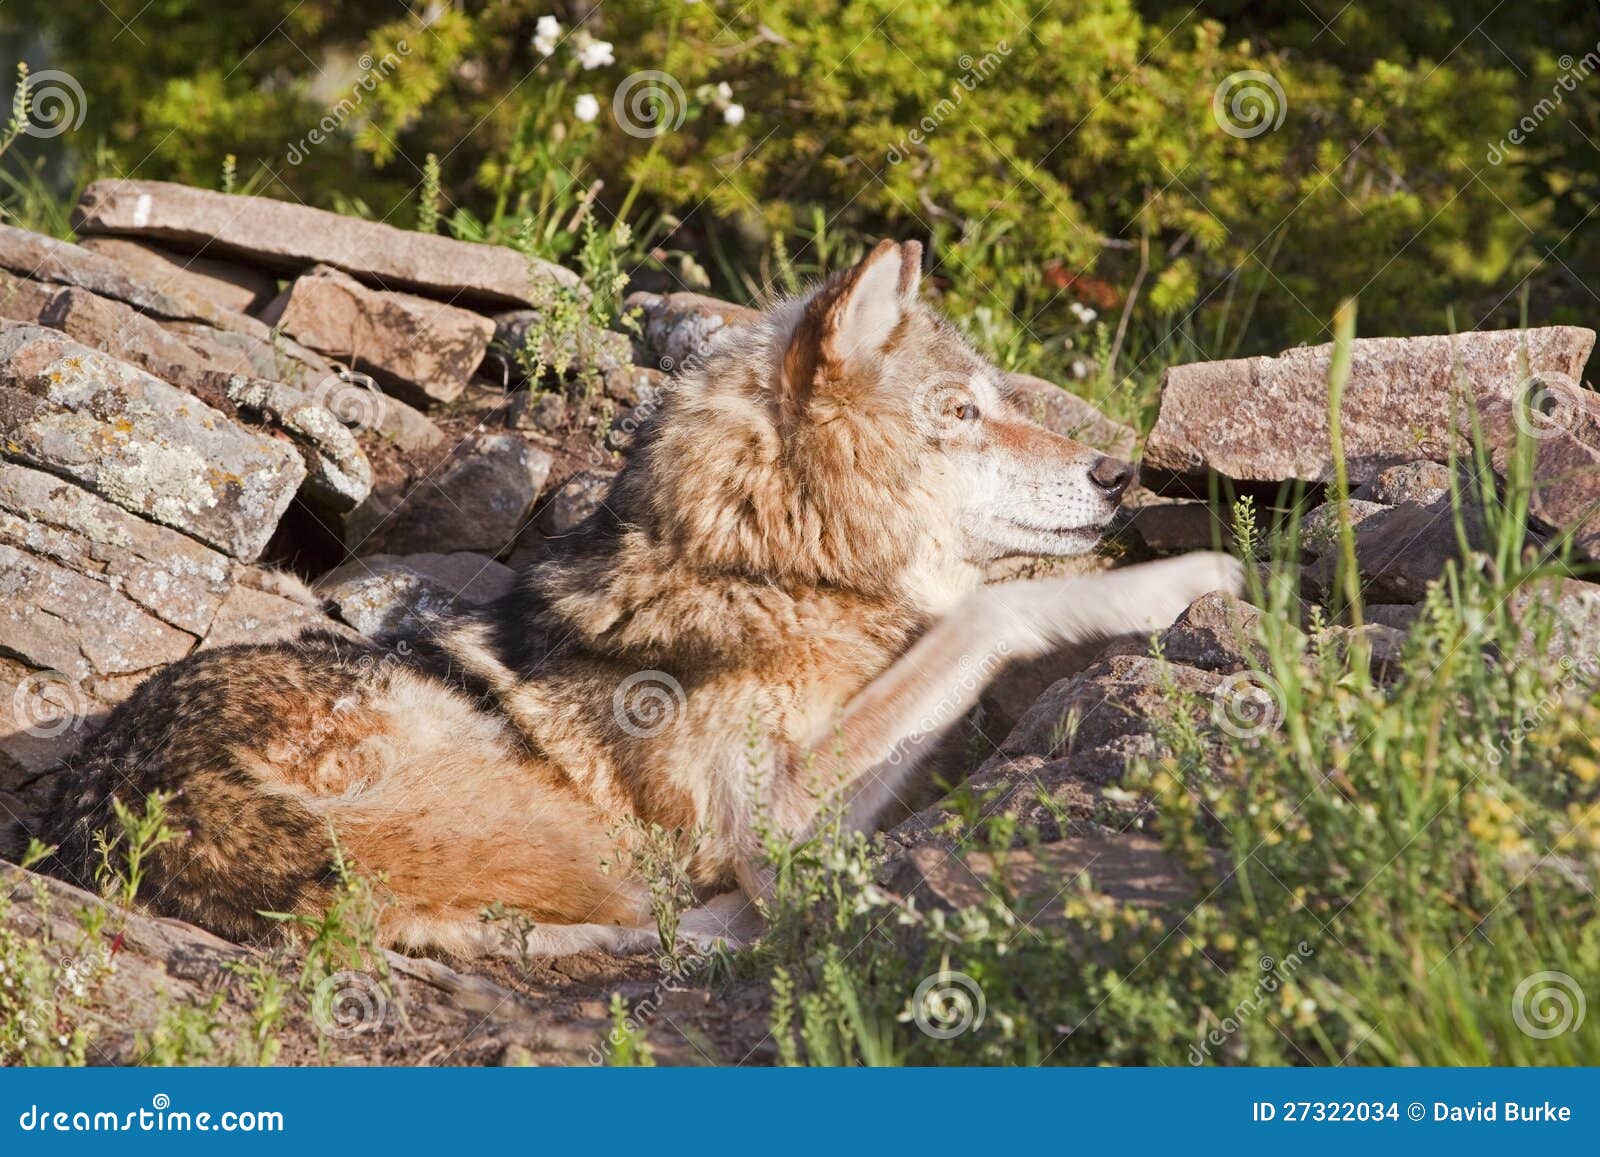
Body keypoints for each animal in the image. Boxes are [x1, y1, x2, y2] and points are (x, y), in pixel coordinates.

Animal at [38, 240, 1241, 958]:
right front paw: (1188, 577)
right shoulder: (773, 814)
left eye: (999, 403)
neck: (771, 571)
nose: (1117, 475)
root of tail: (133, 804)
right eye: (961, 412)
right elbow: (991, 610)